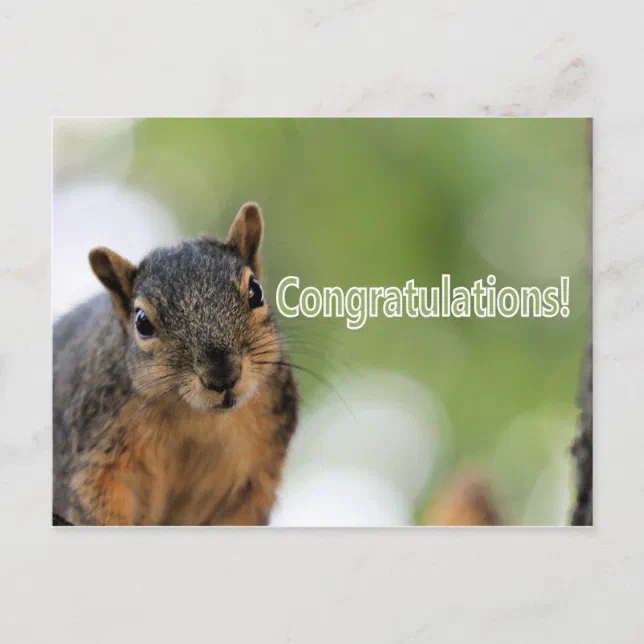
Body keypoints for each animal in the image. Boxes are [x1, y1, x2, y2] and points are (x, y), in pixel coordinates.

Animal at [53, 203, 299, 526]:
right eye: (142, 322)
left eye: (255, 291)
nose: (222, 376)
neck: (197, 417)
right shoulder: (94, 448)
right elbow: (97, 499)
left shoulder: (254, 481)